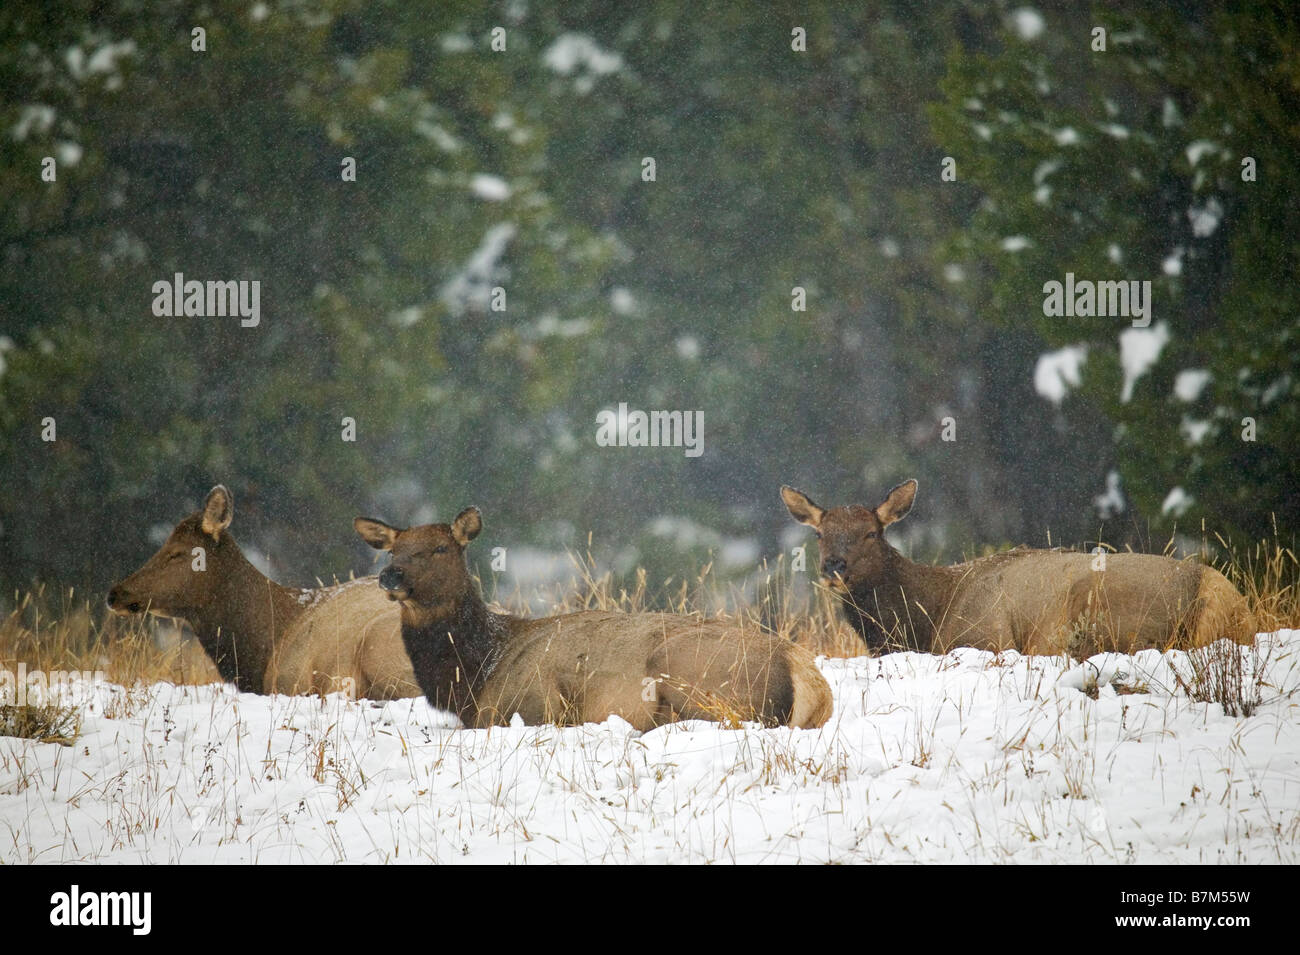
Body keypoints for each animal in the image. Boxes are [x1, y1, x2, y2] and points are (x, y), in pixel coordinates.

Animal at [353, 506, 833, 729]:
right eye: (393, 550)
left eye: (440, 548)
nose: (391, 575)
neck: (476, 673)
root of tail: (806, 672)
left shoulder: (534, 703)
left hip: (687, 669)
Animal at [781, 479, 1257, 657]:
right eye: (820, 534)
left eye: (870, 533)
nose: (834, 566)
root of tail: (1210, 591)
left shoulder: (984, 637)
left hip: (1091, 608)